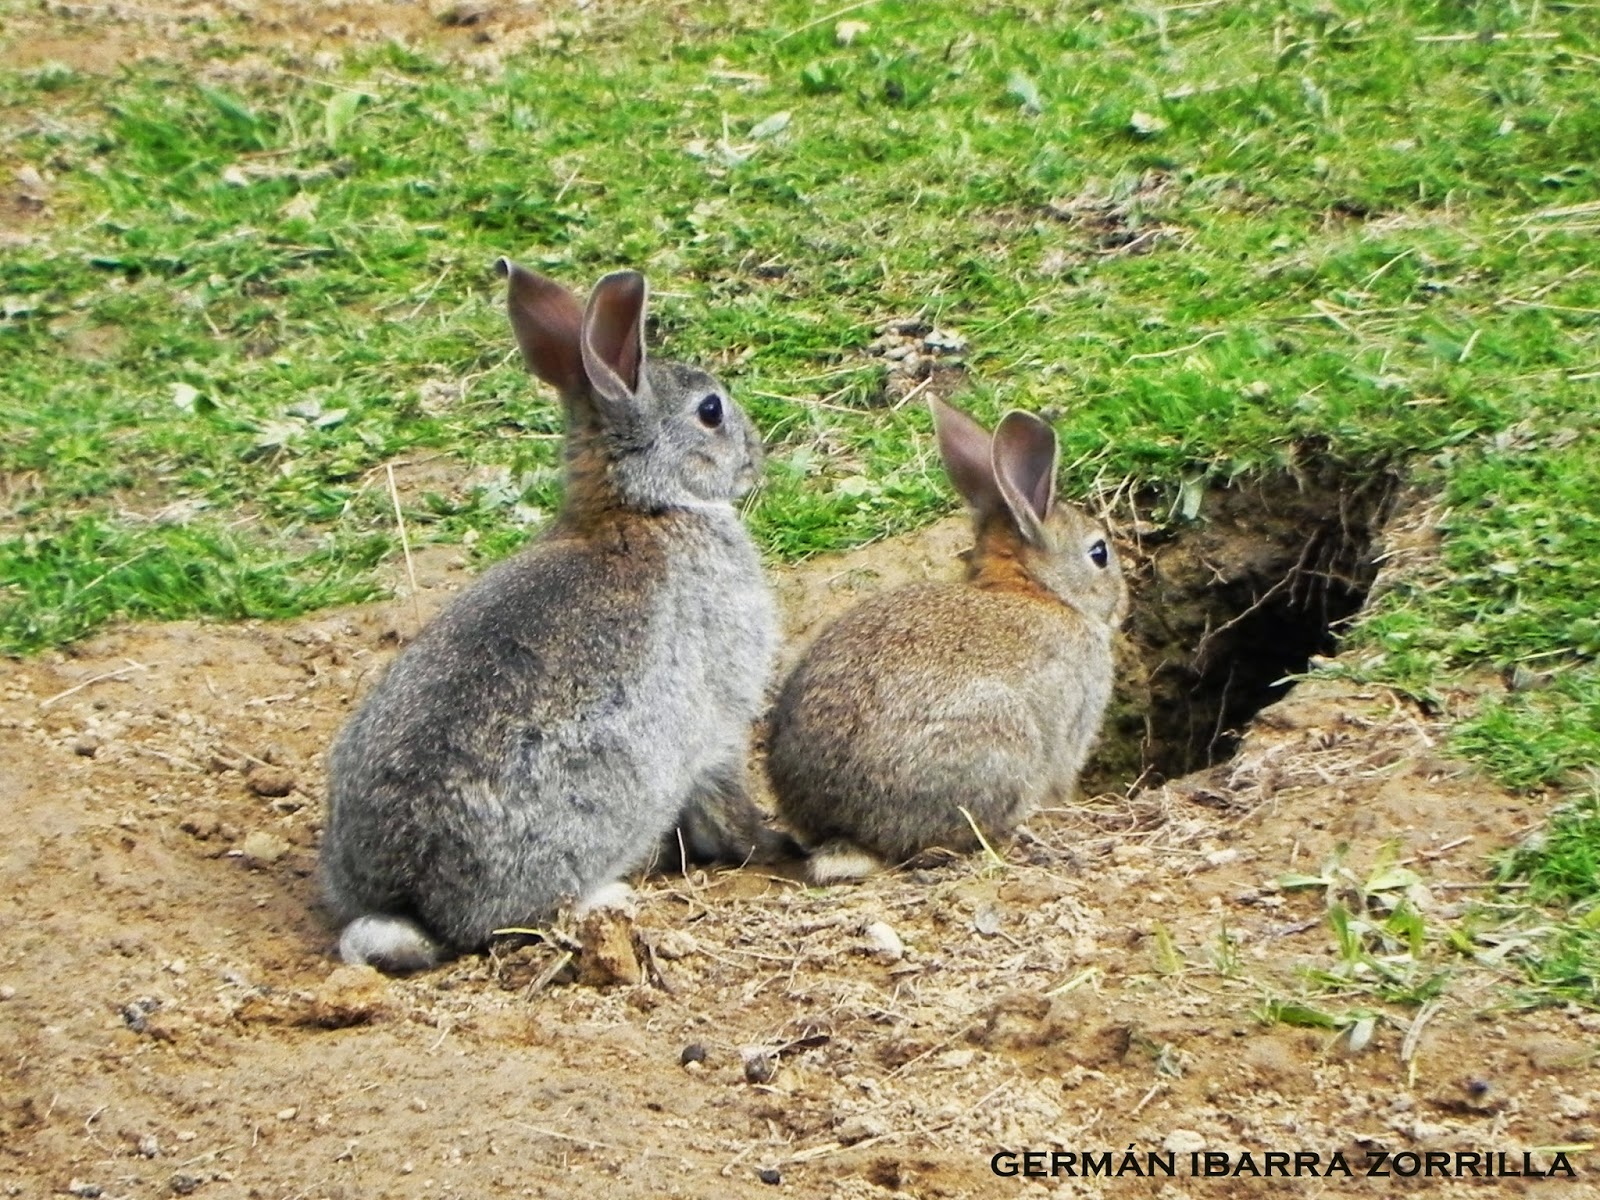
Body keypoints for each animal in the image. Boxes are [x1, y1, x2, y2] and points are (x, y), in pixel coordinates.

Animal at [765, 397, 1129, 883]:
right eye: (1099, 553)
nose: (1123, 601)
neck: (1038, 590)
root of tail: (848, 830)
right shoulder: (1074, 724)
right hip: (998, 738)